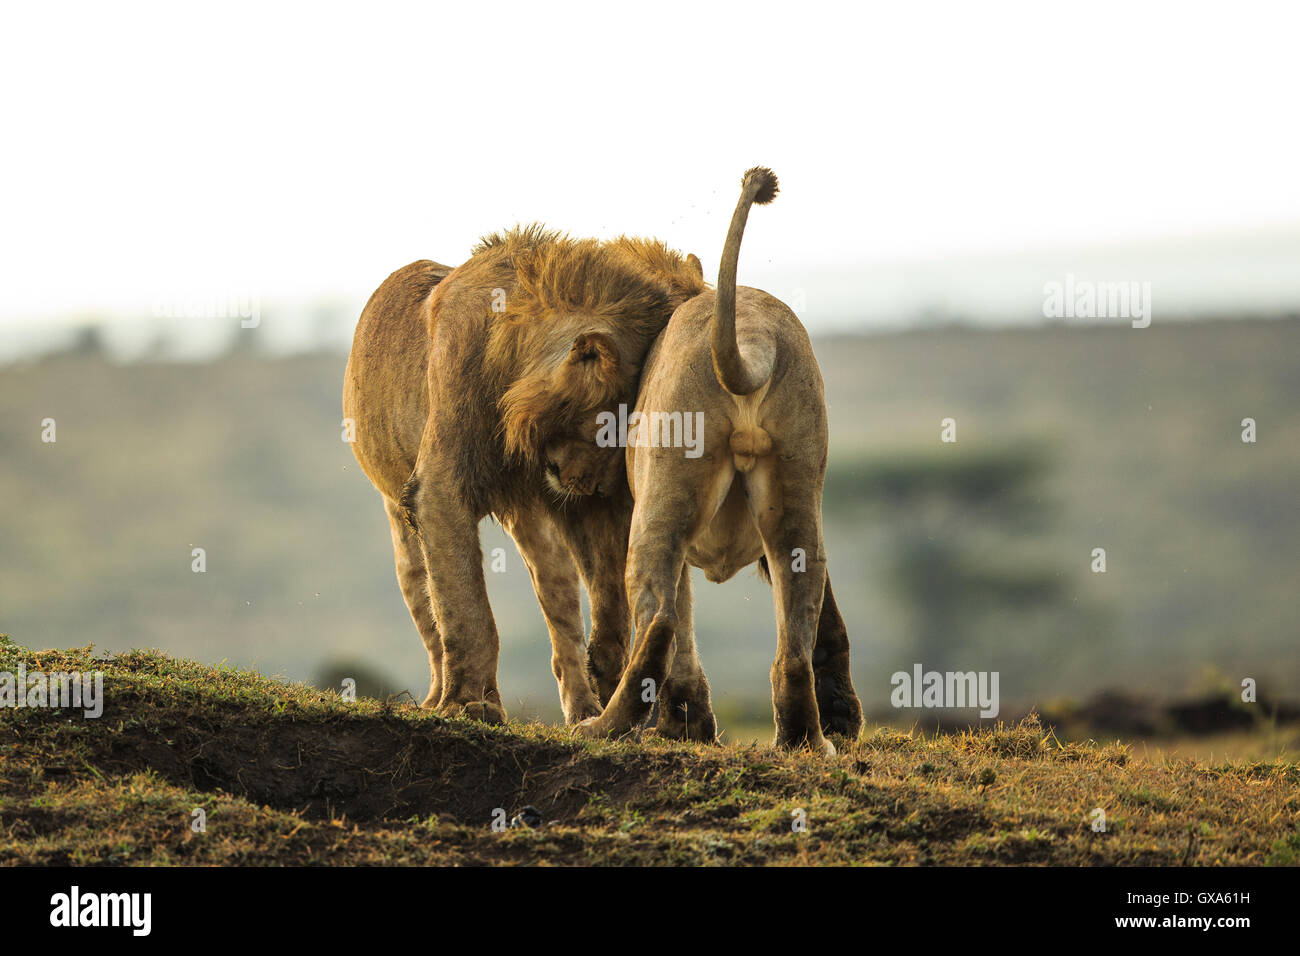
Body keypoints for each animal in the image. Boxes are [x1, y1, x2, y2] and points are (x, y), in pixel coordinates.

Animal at [343, 227, 704, 724]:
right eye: (608, 429)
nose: (595, 485)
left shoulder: (590, 506)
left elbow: (609, 591)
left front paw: (610, 672)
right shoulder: (436, 489)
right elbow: (467, 609)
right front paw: (469, 704)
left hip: (538, 530)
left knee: (563, 618)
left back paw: (587, 709)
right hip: (400, 521)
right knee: (429, 614)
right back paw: (437, 698)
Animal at [550, 168, 863, 752]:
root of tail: (752, 333)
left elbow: (683, 619)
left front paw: (683, 726)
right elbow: (825, 617)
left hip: (662, 496)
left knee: (659, 620)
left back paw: (605, 726)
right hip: (796, 492)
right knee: (795, 627)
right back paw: (806, 741)